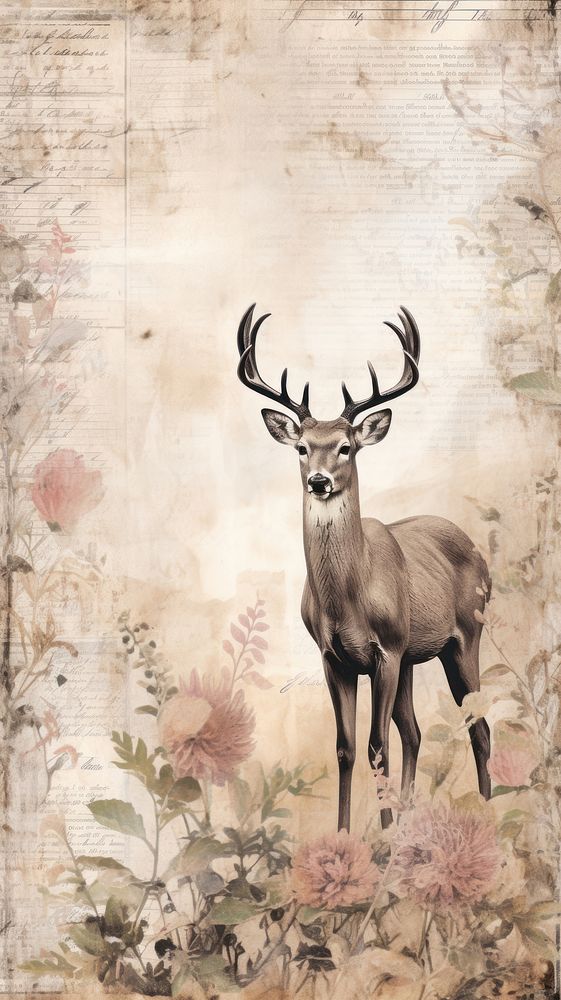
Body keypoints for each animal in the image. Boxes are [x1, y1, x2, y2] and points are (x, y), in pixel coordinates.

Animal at [236, 303, 491, 831]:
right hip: (416, 655)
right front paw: (346, 833)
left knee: (477, 726)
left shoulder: (386, 651)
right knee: (415, 730)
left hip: (464, 637)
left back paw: (487, 810)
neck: (349, 599)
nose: (318, 481)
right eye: (302, 447)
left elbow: (377, 746)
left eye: (346, 446)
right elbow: (346, 748)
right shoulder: (334, 657)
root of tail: (480, 555)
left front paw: (384, 834)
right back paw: (415, 815)